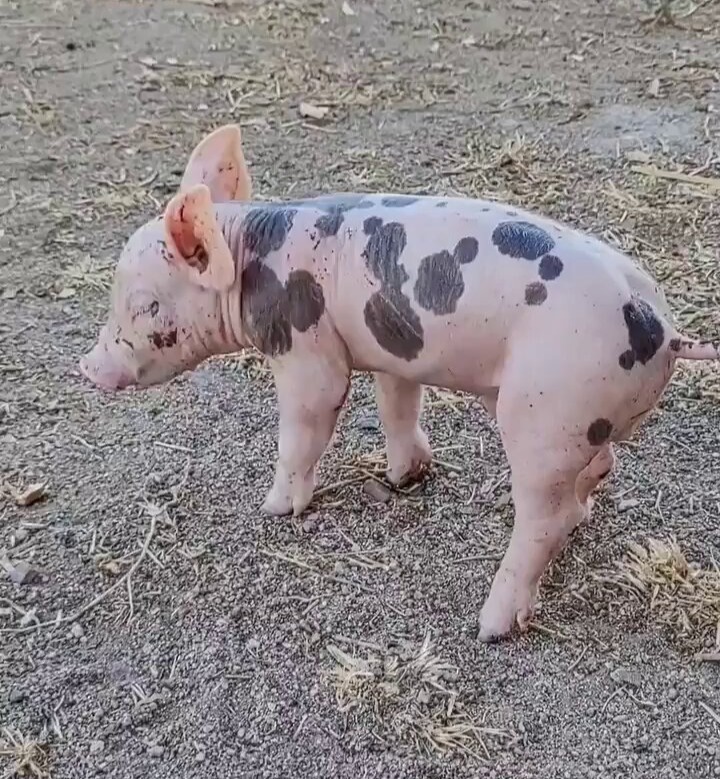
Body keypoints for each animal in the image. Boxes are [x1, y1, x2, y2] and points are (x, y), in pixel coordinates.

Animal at [80, 124, 720, 641]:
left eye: (145, 304)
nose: (87, 368)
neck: (249, 259)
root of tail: (664, 329)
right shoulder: (392, 349)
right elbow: (397, 406)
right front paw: (402, 477)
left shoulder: (307, 352)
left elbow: (304, 427)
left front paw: (275, 509)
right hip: (579, 420)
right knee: (595, 473)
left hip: (545, 415)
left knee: (542, 518)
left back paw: (491, 626)